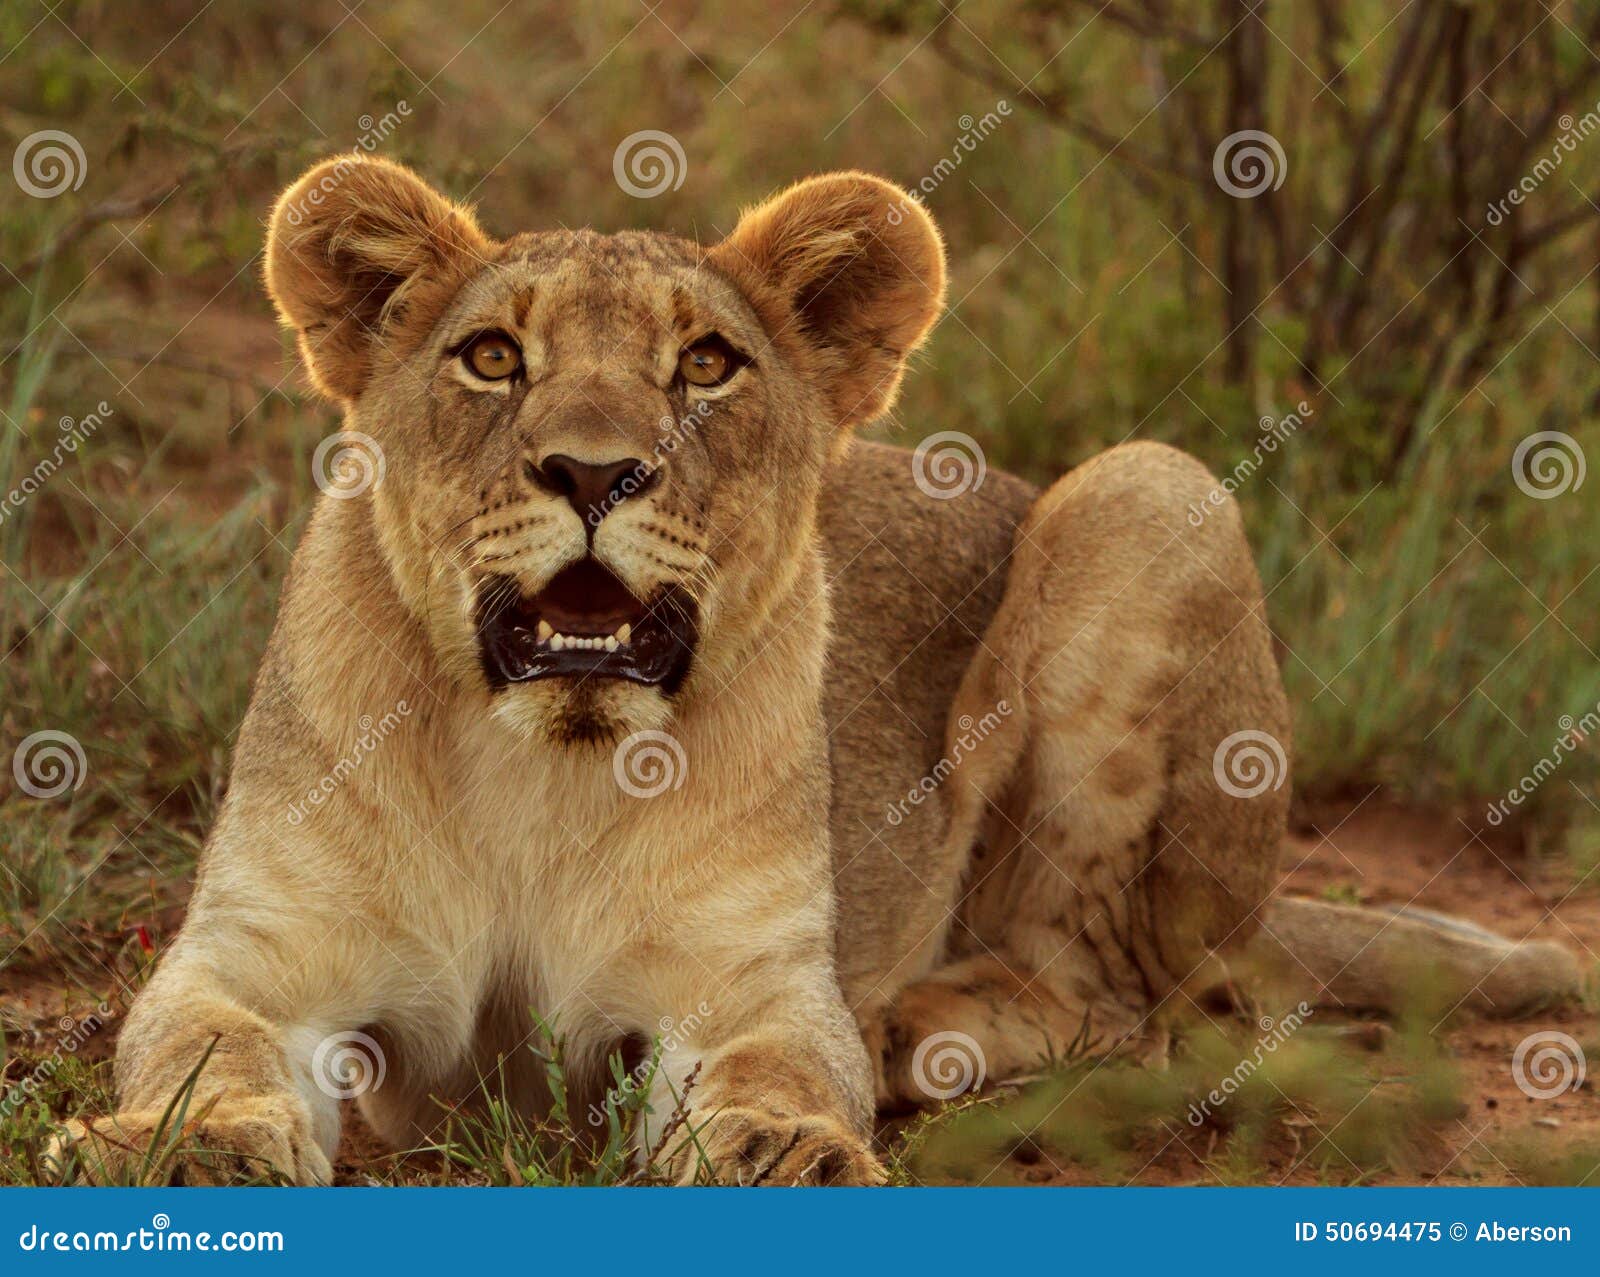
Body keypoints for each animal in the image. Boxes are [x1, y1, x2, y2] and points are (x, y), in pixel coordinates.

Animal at [56, 156, 1579, 1186]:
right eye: (492, 355)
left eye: (706, 364)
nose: (595, 472)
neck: (539, 762)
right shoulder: (258, 957)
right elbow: (205, 1047)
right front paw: (185, 1145)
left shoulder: (746, 982)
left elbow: (782, 1059)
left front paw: (786, 1146)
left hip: (1151, 493)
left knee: (1133, 1006)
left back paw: (921, 1029)